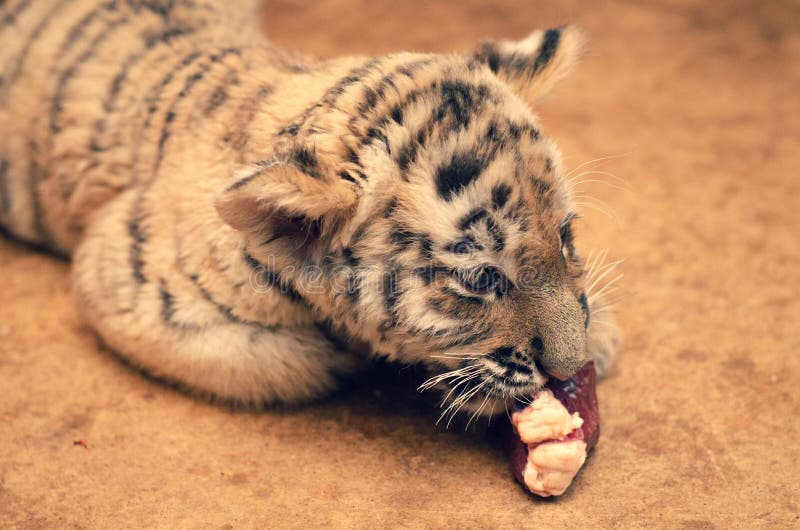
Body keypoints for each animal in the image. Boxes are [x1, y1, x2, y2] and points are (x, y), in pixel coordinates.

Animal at [0, 0, 619, 419]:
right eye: (480, 278)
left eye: (565, 236)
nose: (571, 369)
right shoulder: (125, 284)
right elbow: (288, 364)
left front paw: (602, 335)